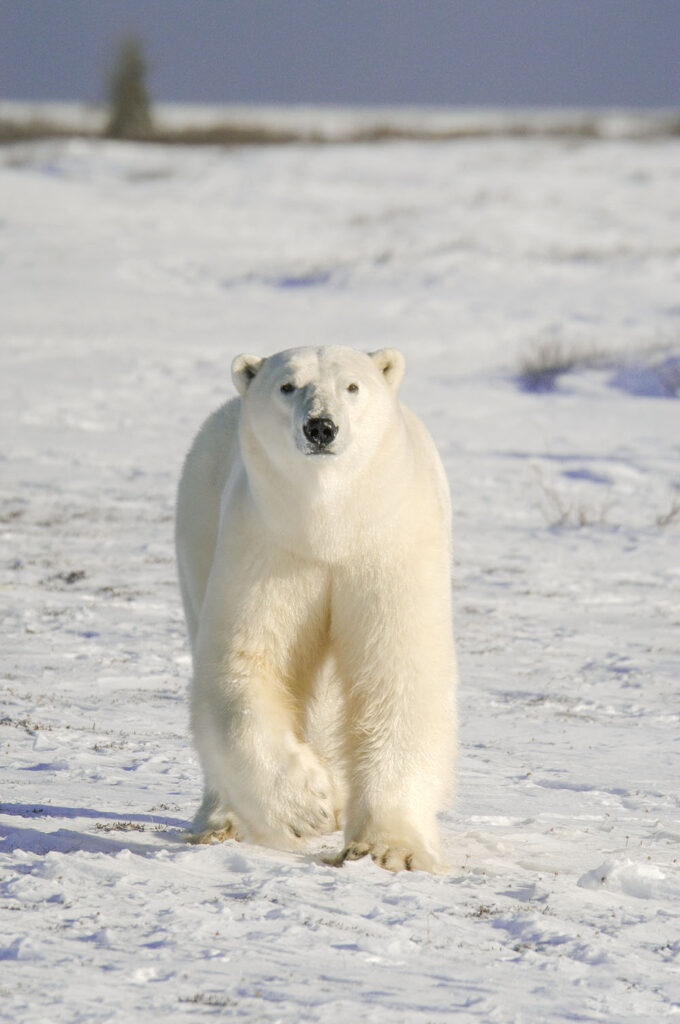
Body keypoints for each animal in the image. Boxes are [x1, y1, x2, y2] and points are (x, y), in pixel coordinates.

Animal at [175, 345, 458, 872]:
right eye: (288, 385)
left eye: (353, 386)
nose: (321, 427)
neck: (330, 527)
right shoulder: (267, 545)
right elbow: (243, 664)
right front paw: (308, 804)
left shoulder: (388, 544)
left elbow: (397, 673)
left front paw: (390, 848)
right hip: (198, 528)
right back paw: (219, 821)